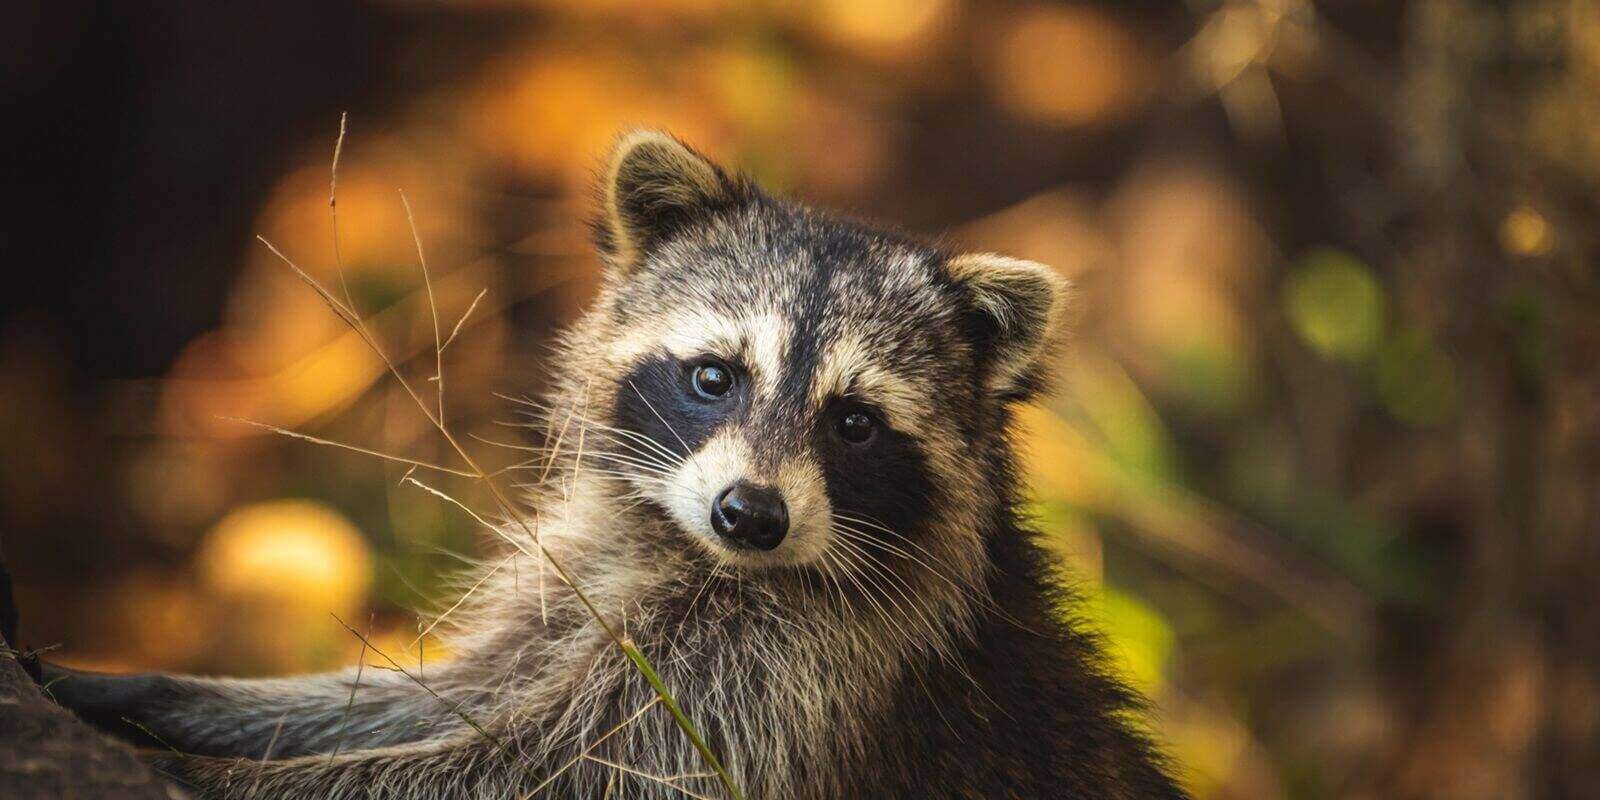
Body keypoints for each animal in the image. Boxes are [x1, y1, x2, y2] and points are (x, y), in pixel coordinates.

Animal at [44, 131, 1185, 799]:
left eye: (855, 423)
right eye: (714, 375)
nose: (750, 514)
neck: (692, 553)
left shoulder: (808, 674)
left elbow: (543, 769)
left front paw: (194, 766)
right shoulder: (586, 583)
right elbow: (437, 696)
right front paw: (162, 695)